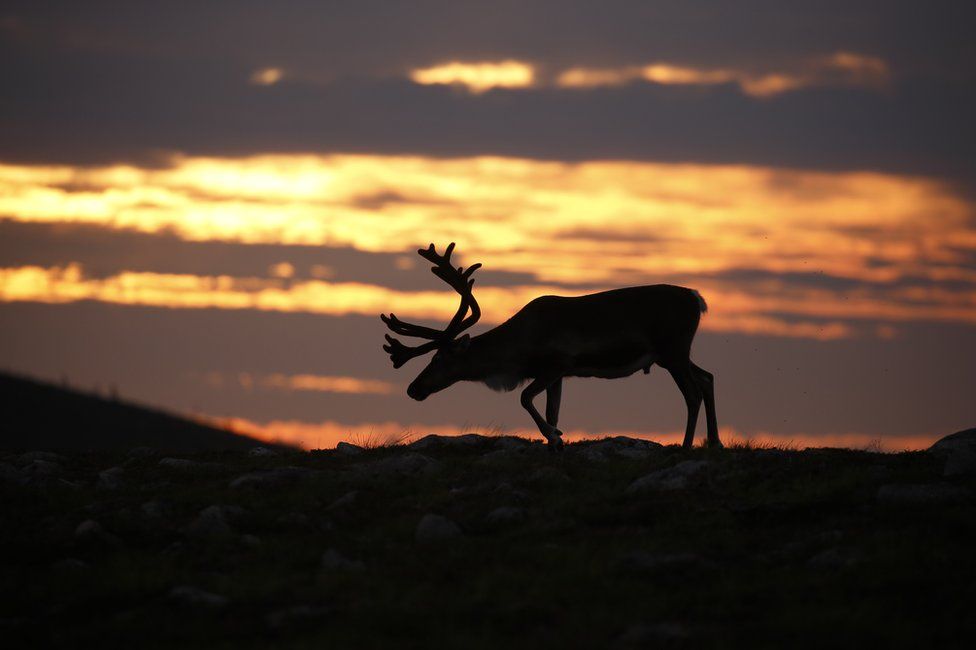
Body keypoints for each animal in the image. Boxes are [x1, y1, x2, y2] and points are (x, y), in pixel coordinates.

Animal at [381, 243, 722, 451]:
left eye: (440, 358)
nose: (413, 388)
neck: (515, 354)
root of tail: (698, 299)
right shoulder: (558, 375)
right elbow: (551, 410)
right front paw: (554, 442)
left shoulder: (558, 363)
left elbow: (524, 398)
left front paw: (555, 437)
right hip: (672, 354)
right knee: (707, 377)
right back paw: (714, 442)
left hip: (674, 350)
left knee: (692, 392)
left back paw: (687, 446)